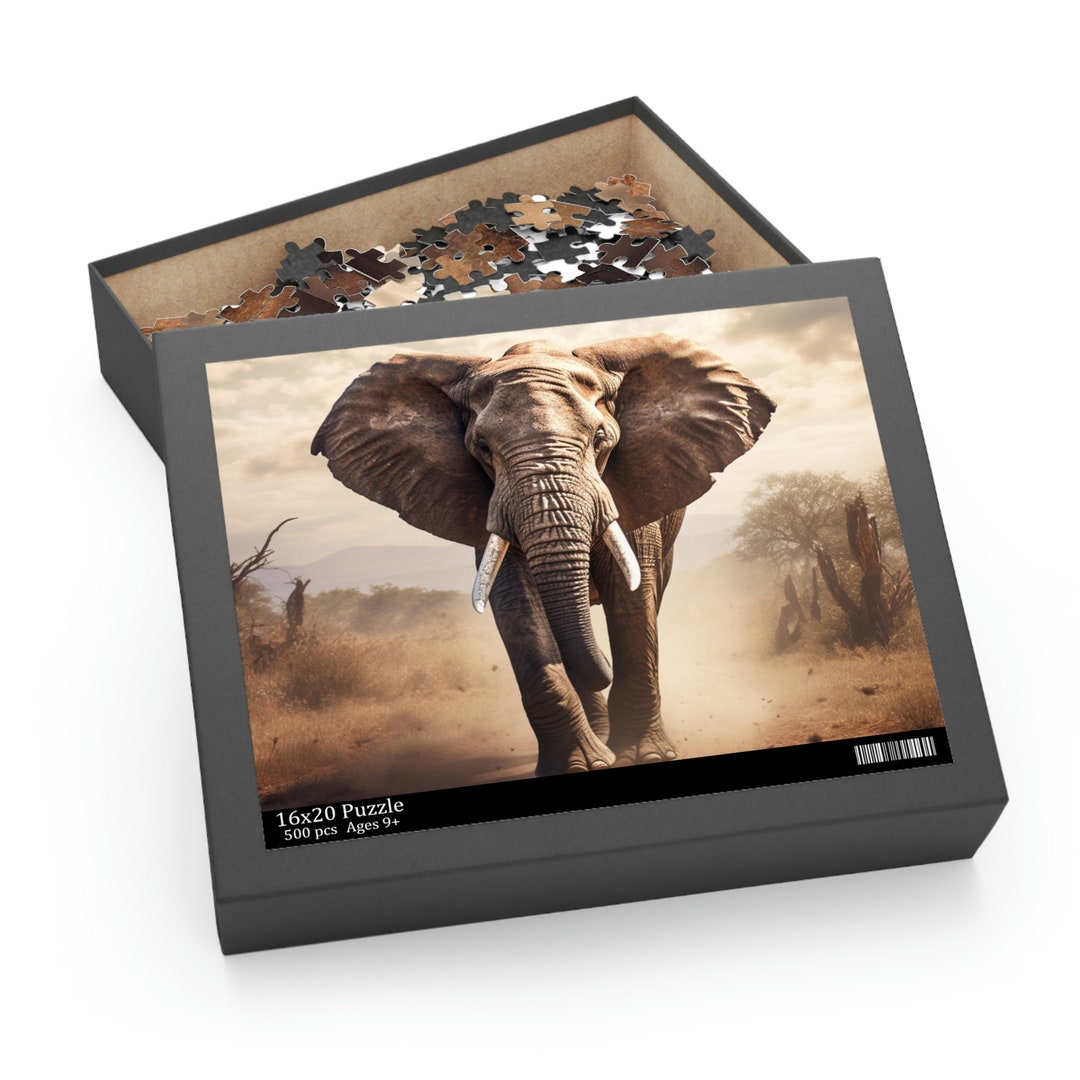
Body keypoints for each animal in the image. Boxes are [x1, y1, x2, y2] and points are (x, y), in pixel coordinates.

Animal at [311, 334, 775, 776]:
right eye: (482, 447)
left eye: (600, 439)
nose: (604, 664)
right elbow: (516, 604)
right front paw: (579, 765)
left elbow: (630, 598)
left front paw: (643, 756)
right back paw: (599, 739)